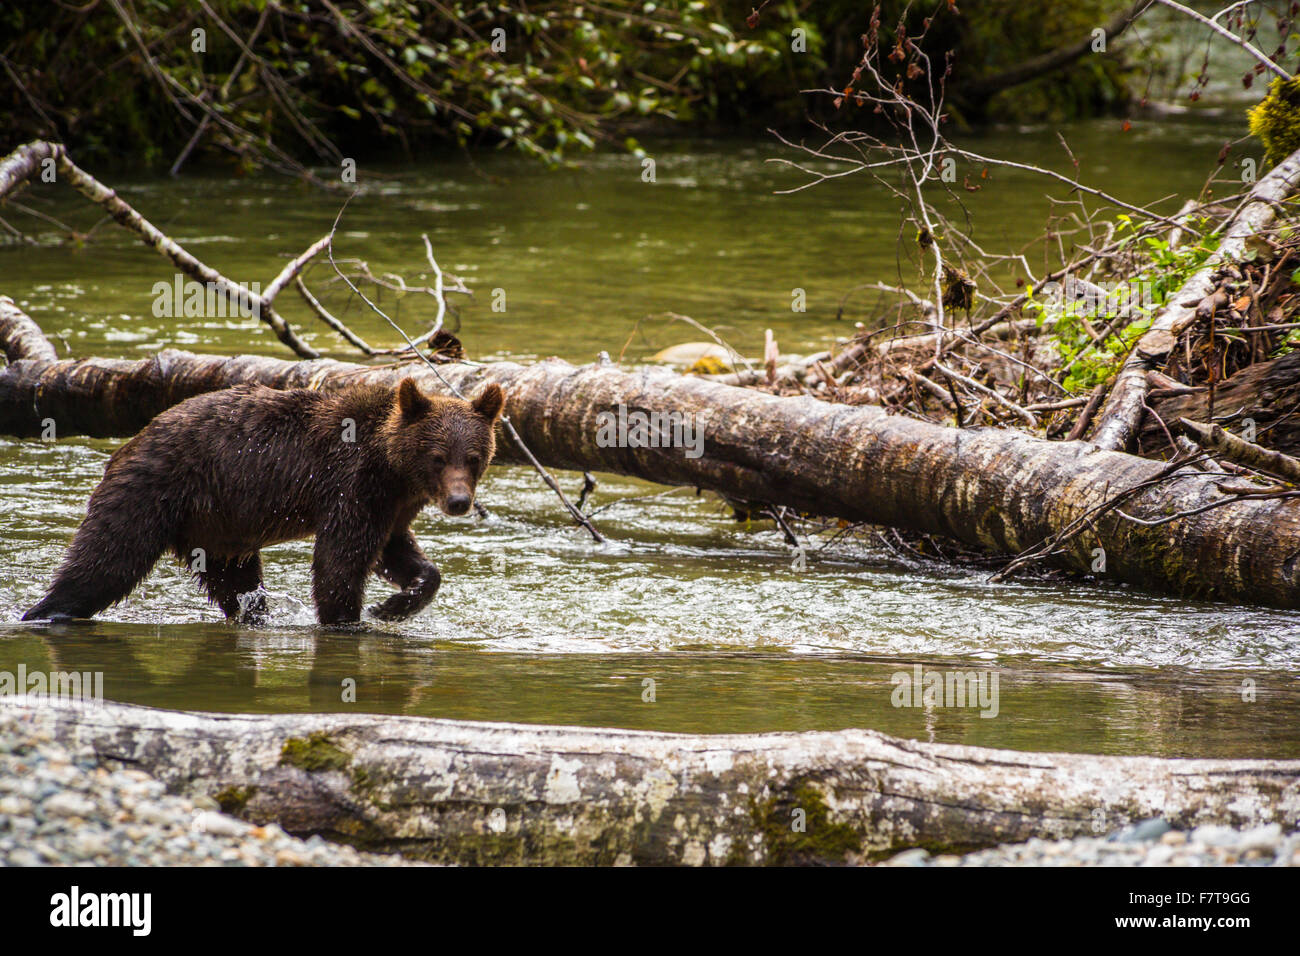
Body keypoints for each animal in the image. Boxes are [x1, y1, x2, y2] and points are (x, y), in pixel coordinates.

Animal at [22, 378, 505, 626]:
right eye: (437, 456)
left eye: (473, 457)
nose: (459, 501)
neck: (394, 468)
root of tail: (127, 444)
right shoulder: (351, 485)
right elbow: (341, 560)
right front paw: (348, 616)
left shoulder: (393, 504)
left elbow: (396, 551)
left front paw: (395, 604)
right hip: (150, 493)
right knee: (106, 560)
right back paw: (46, 610)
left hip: (215, 529)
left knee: (234, 582)